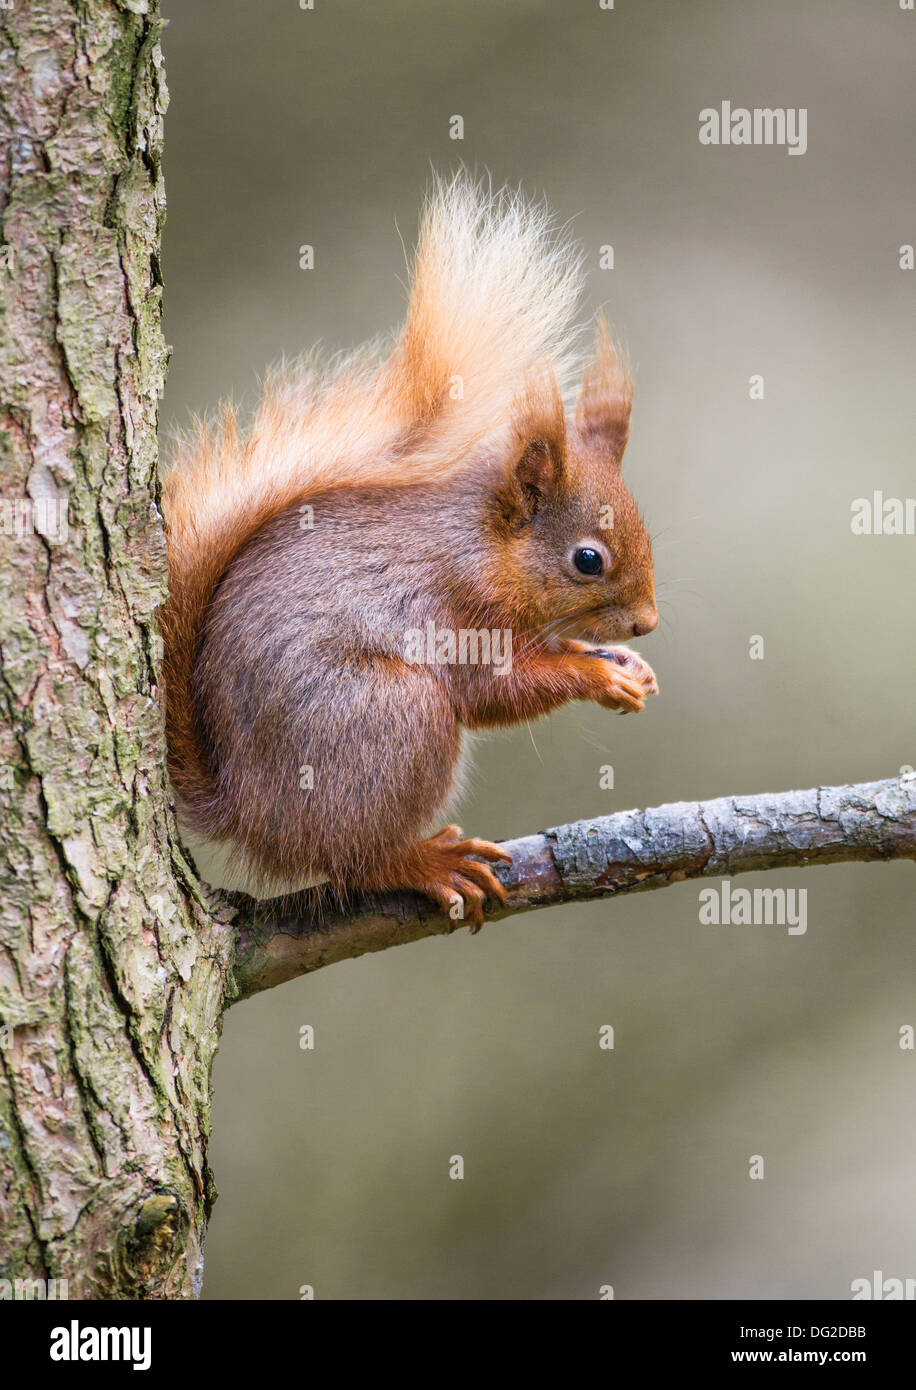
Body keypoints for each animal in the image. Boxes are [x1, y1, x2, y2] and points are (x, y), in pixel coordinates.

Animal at [160, 173, 659, 929]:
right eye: (588, 560)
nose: (647, 623)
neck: (484, 545)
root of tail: (249, 816)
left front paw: (626, 666)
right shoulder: (458, 609)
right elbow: (495, 690)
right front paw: (597, 675)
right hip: (392, 720)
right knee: (355, 860)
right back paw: (425, 862)